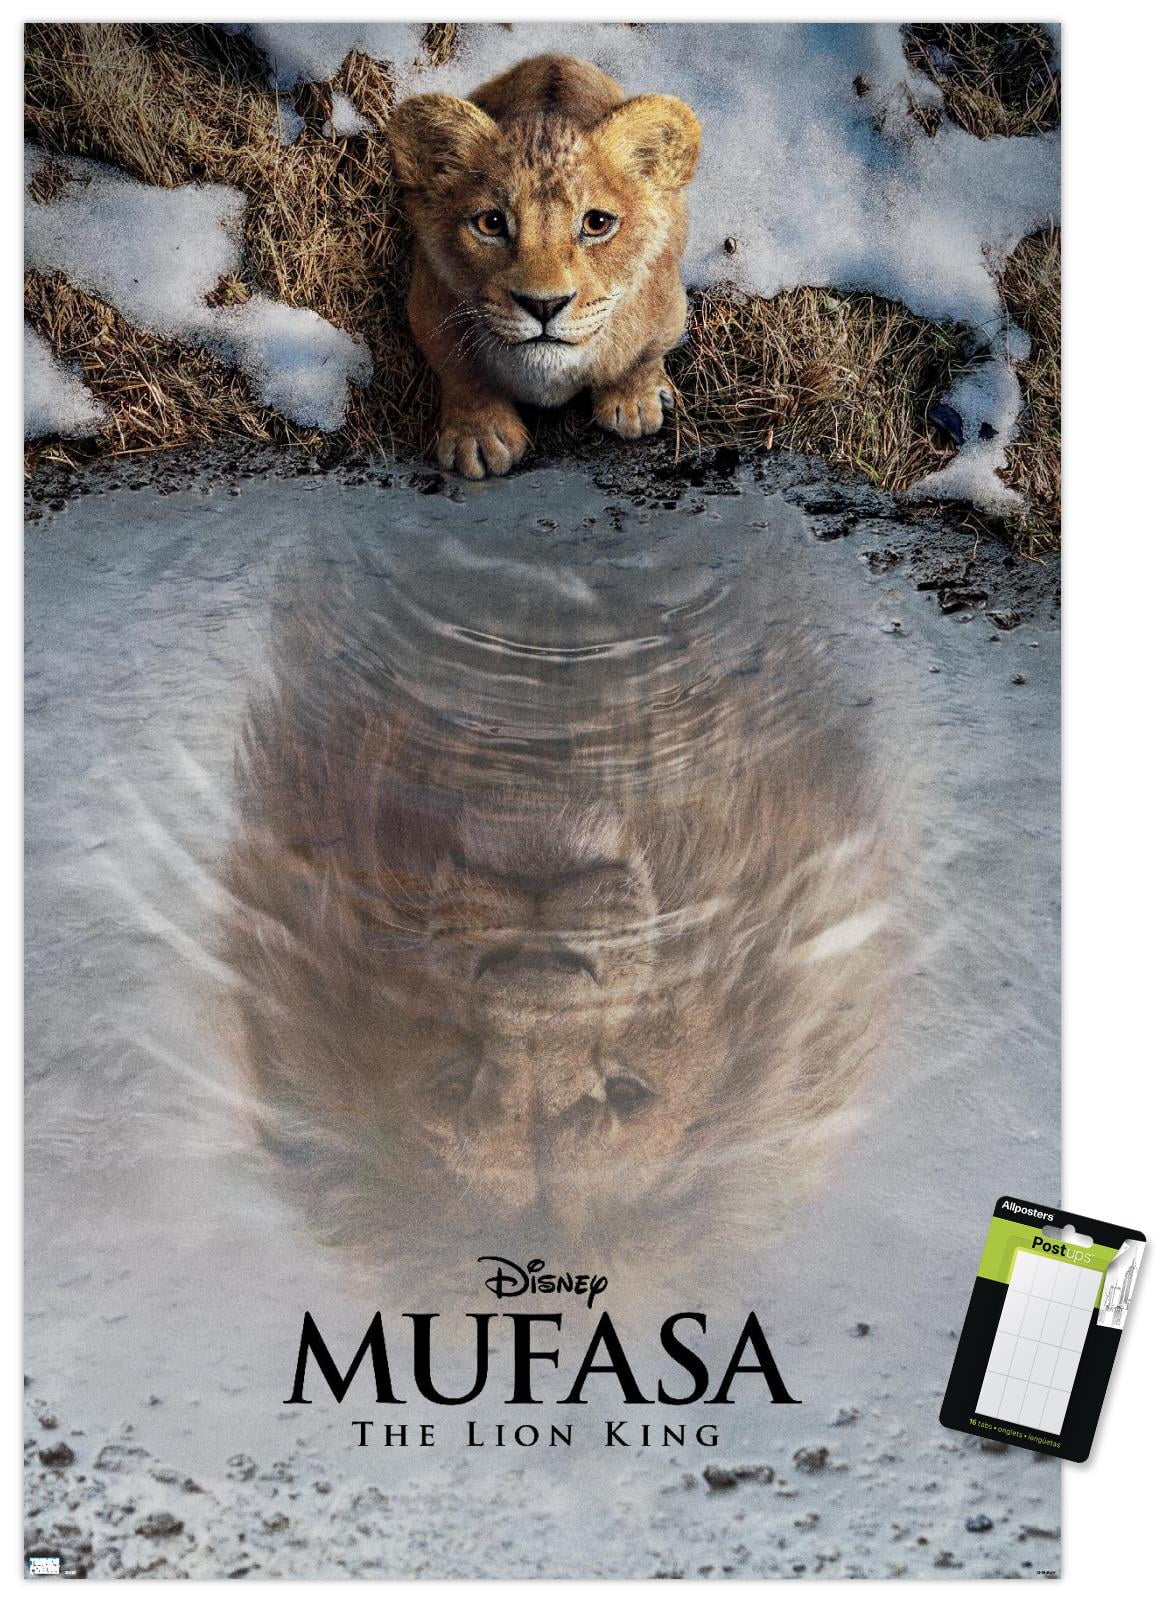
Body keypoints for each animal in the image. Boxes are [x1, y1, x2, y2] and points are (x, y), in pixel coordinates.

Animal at [388, 54, 702, 478]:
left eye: (596, 223)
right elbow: (460, 371)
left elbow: (643, 356)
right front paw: (479, 436)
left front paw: (634, 403)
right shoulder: (428, 305)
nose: (543, 305)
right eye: (491, 223)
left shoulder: (667, 306)